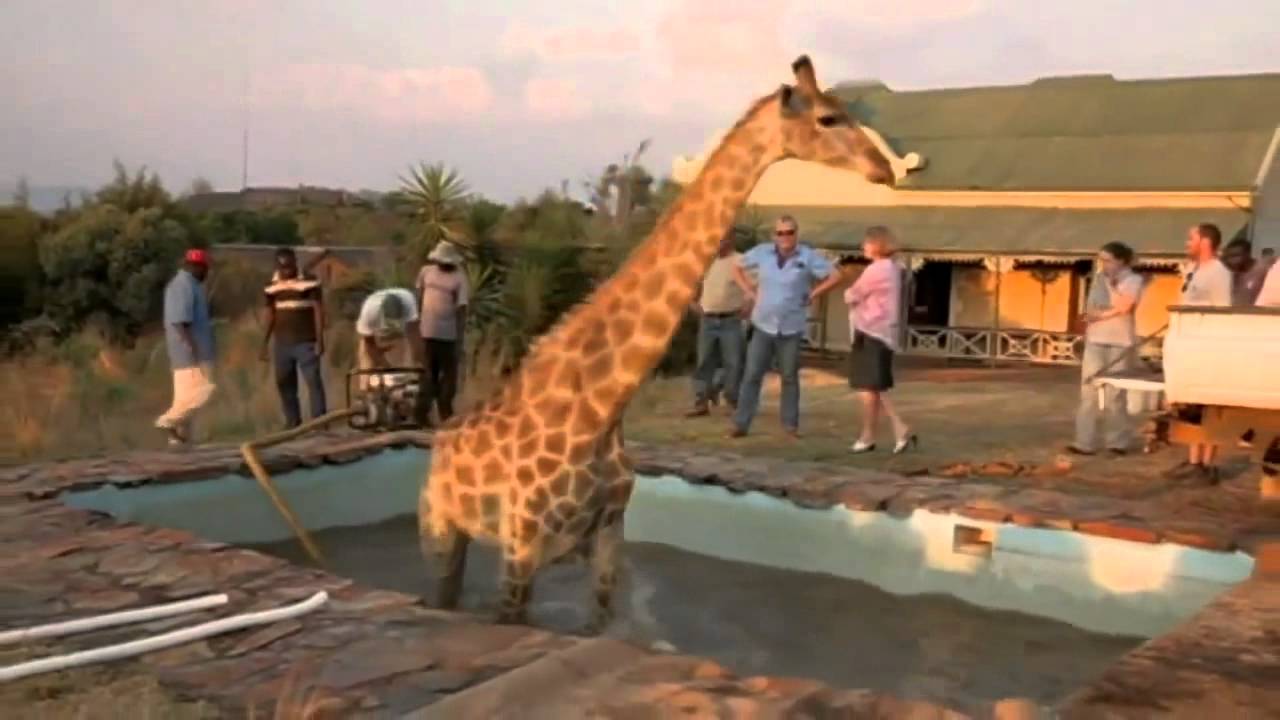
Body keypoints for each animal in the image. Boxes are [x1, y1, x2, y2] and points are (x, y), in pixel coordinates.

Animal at [420, 55, 907, 631]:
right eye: (829, 118)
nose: (885, 170)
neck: (602, 408)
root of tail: (441, 439)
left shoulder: (607, 536)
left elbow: (599, 625)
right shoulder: (522, 545)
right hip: (441, 527)